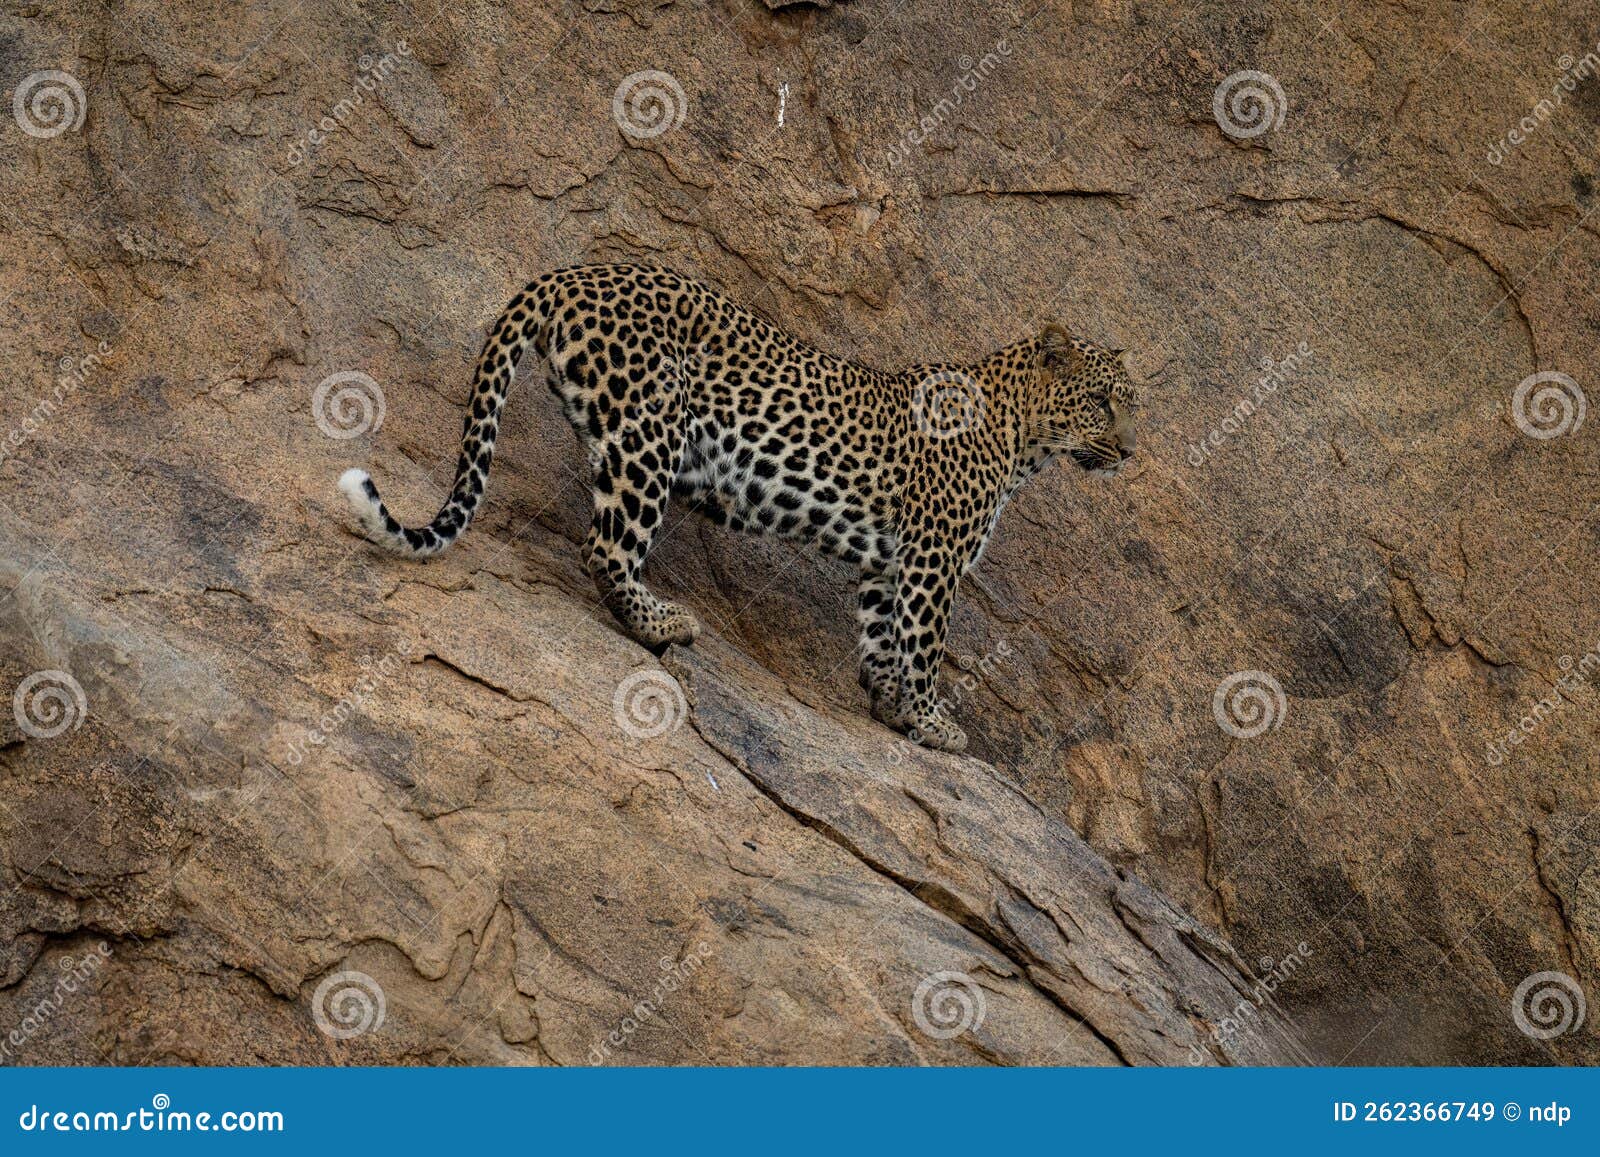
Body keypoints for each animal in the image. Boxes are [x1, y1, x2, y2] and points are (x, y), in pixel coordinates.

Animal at [338, 263, 1136, 752]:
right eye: (1103, 403)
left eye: (1132, 405)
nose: (1130, 451)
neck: (1024, 439)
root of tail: (570, 273)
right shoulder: (933, 561)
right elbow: (925, 645)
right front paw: (934, 721)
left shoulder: (892, 562)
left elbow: (882, 637)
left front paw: (890, 708)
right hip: (650, 432)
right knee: (607, 547)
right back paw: (663, 623)